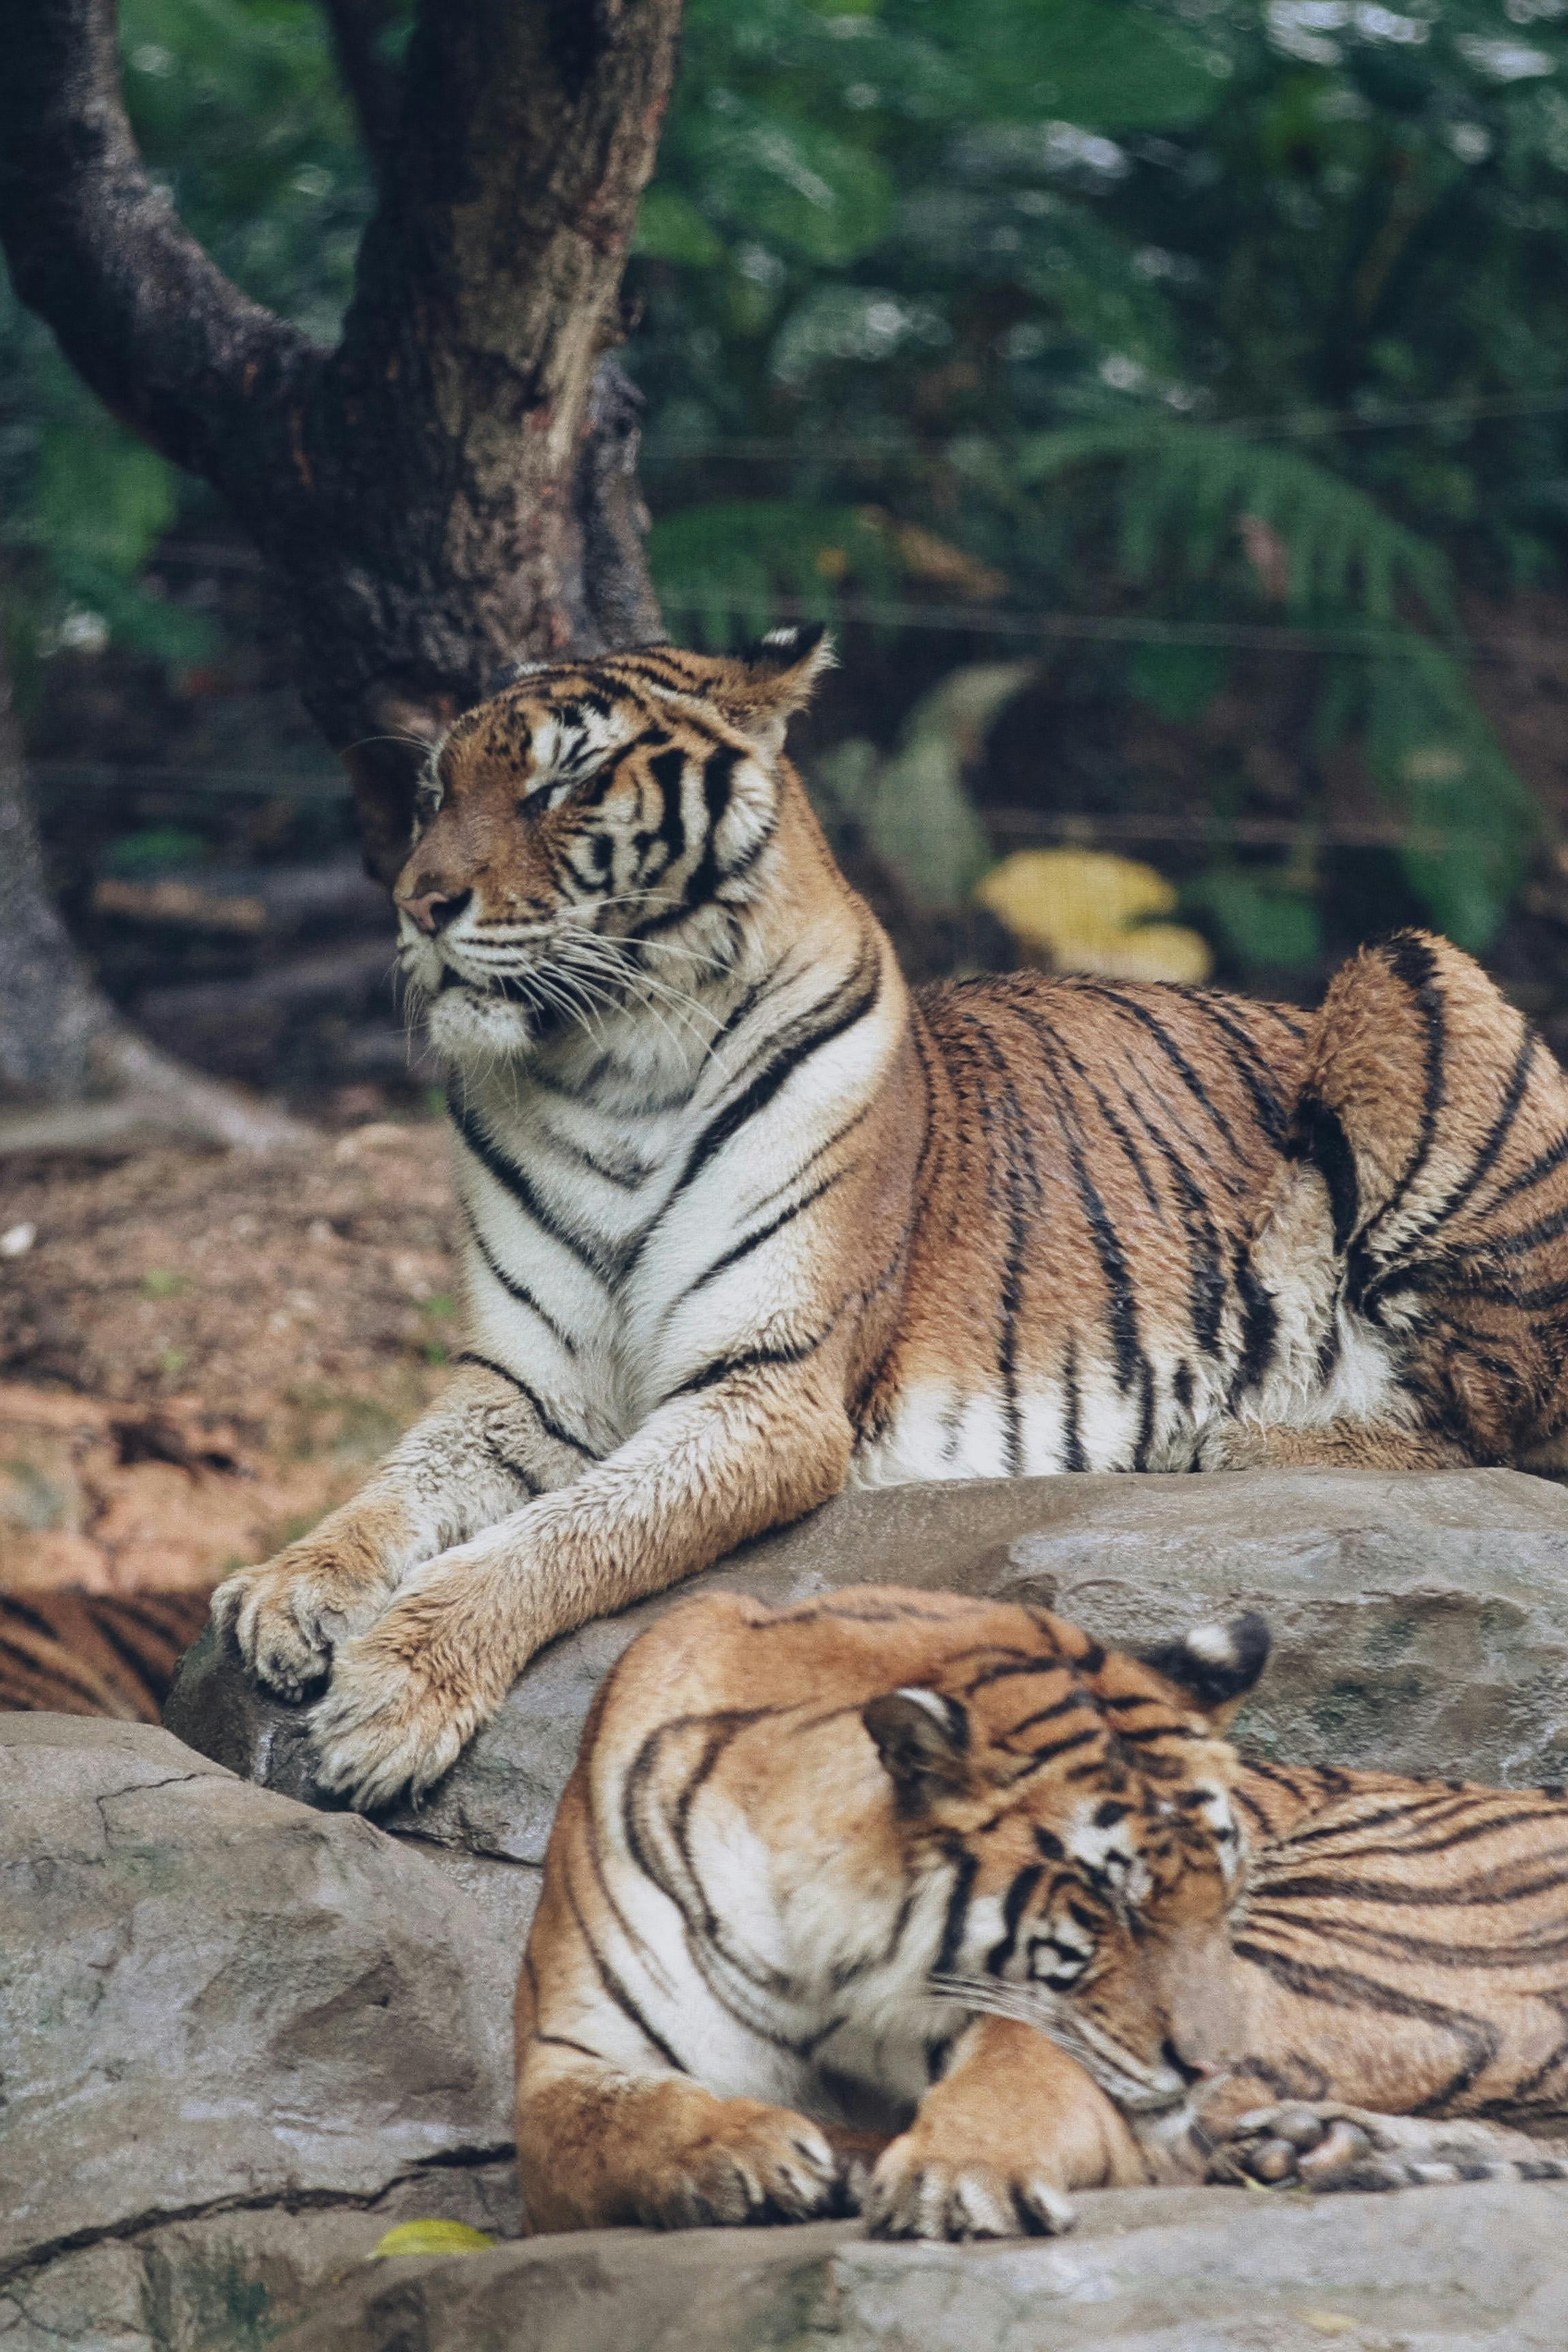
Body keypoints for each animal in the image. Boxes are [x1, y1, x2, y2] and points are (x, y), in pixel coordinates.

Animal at [212, 626, 1568, 1810]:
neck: (606, 1073)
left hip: (1407, 971)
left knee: (1491, 1426)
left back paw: (1226, 1439)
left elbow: (561, 1537)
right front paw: (283, 1589)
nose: (417, 901)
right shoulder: (523, 1388)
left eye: (568, 784)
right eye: (434, 791)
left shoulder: (766, 1388)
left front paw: (393, 1691)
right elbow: (396, 1487)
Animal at [514, 1584, 1568, 2240]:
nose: (1212, 2065)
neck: (817, 1960)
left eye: (1220, 1894)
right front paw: (745, 2153)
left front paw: (957, 2174)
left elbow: (1022, 2075)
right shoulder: (570, 2057)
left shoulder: (1061, 2027)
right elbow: (611, 2120)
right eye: (1113, 1906)